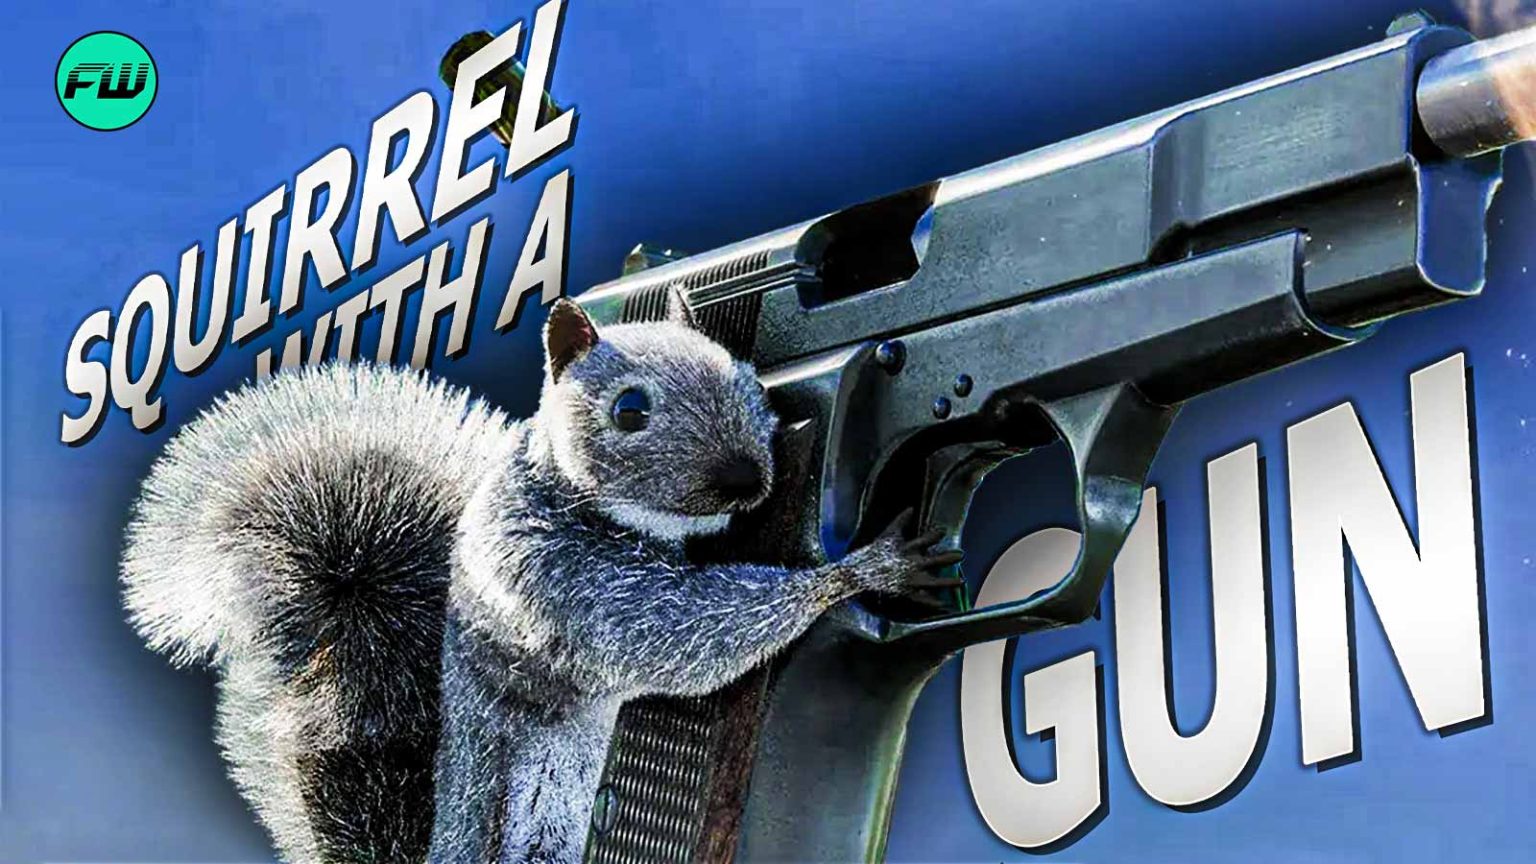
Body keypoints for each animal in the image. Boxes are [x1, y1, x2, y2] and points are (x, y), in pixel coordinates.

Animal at [121, 293, 960, 864]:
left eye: (749, 380)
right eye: (628, 410)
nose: (744, 480)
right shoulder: (557, 577)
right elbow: (679, 632)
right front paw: (861, 569)